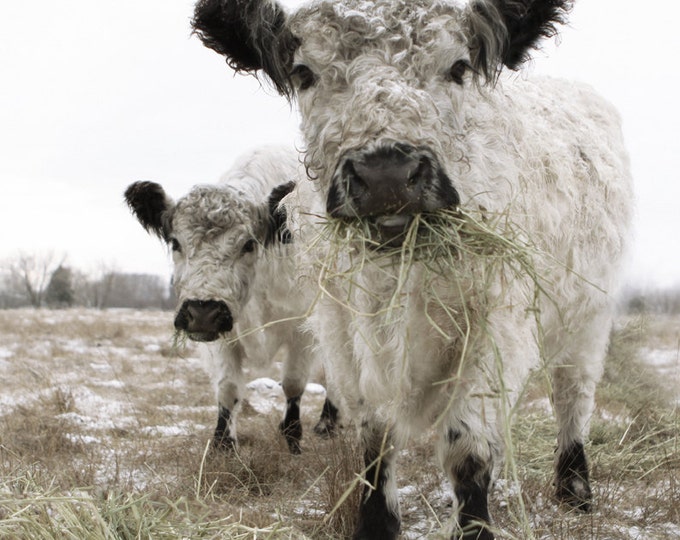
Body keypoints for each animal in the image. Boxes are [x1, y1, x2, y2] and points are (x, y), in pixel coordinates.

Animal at [124, 146, 339, 455]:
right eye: (176, 242)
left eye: (248, 244)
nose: (202, 312)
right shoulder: (222, 335)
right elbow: (227, 387)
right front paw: (223, 443)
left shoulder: (302, 329)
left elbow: (293, 383)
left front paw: (292, 438)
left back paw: (327, 424)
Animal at [191, 1, 633, 538]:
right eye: (304, 72)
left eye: (458, 67)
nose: (386, 173)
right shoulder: (349, 333)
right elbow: (375, 436)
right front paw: (376, 521)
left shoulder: (495, 327)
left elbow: (468, 446)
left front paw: (474, 527)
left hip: (588, 317)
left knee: (573, 397)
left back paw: (575, 489)